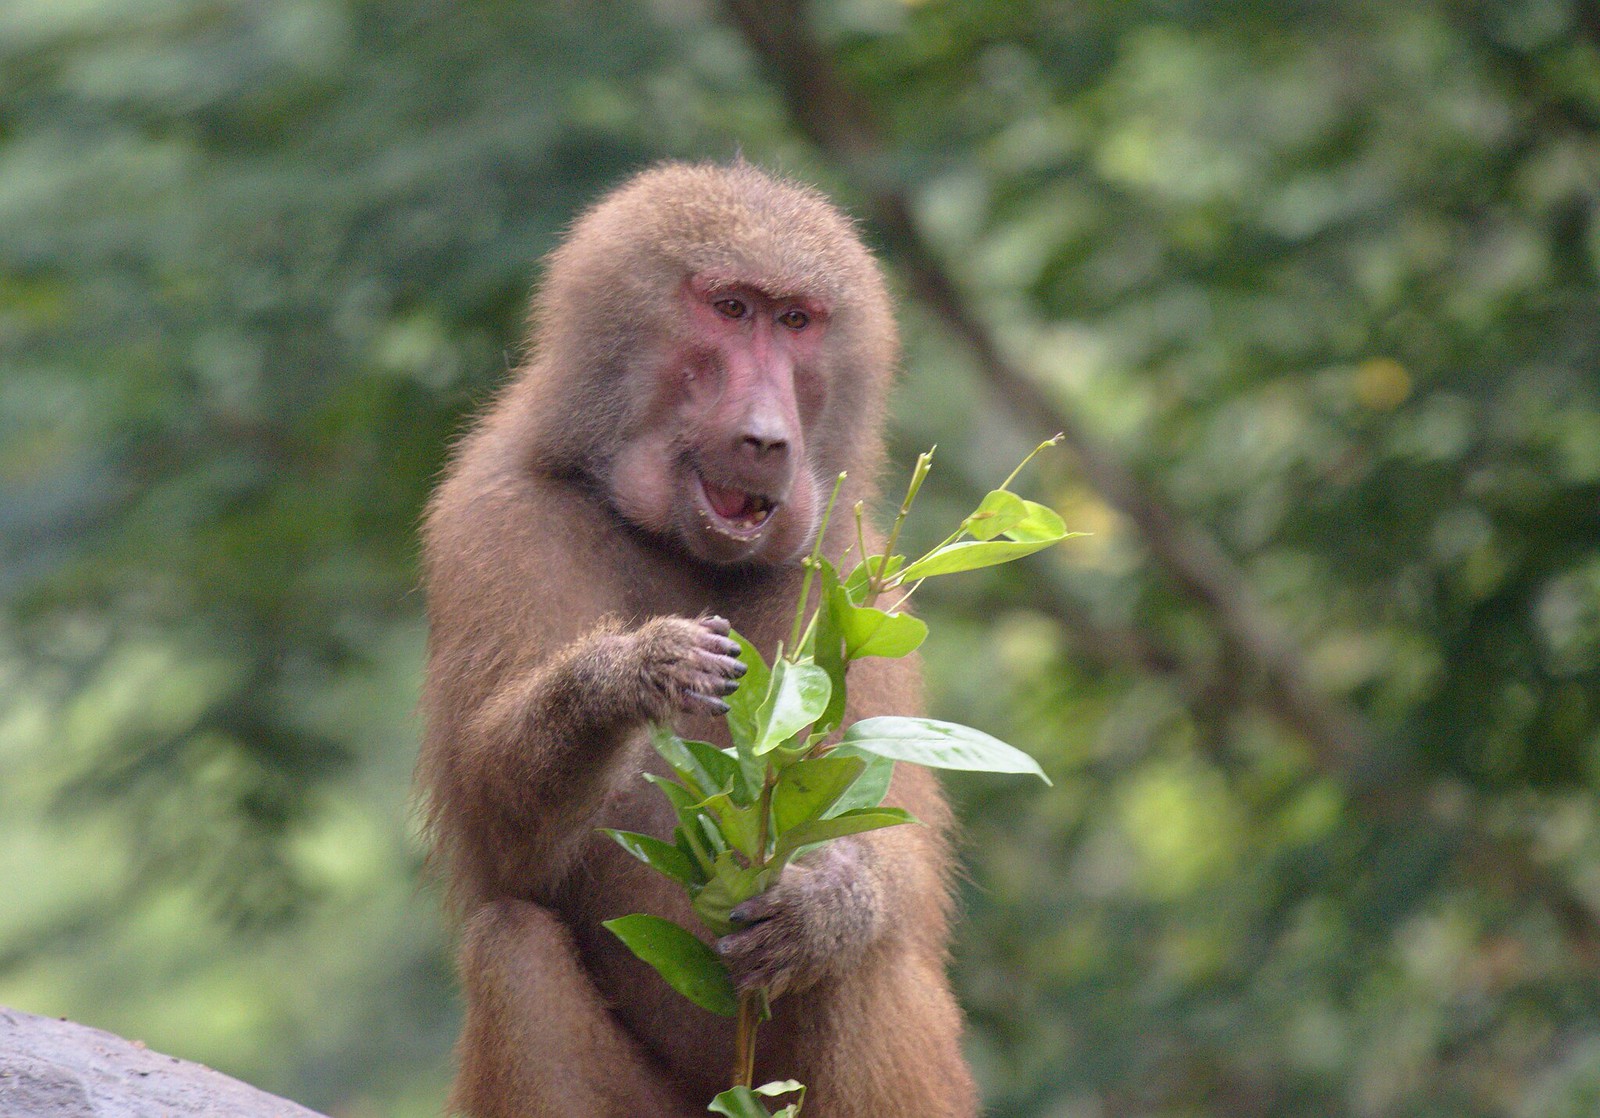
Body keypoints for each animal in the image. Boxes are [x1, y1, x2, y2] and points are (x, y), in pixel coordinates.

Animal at [417, 162, 977, 1118]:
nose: (766, 439)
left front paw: (827, 902)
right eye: (731, 308)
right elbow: (503, 838)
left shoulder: (851, 575)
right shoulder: (493, 519)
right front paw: (629, 672)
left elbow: (897, 845)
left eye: (797, 320)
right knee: (512, 949)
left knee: (870, 963)